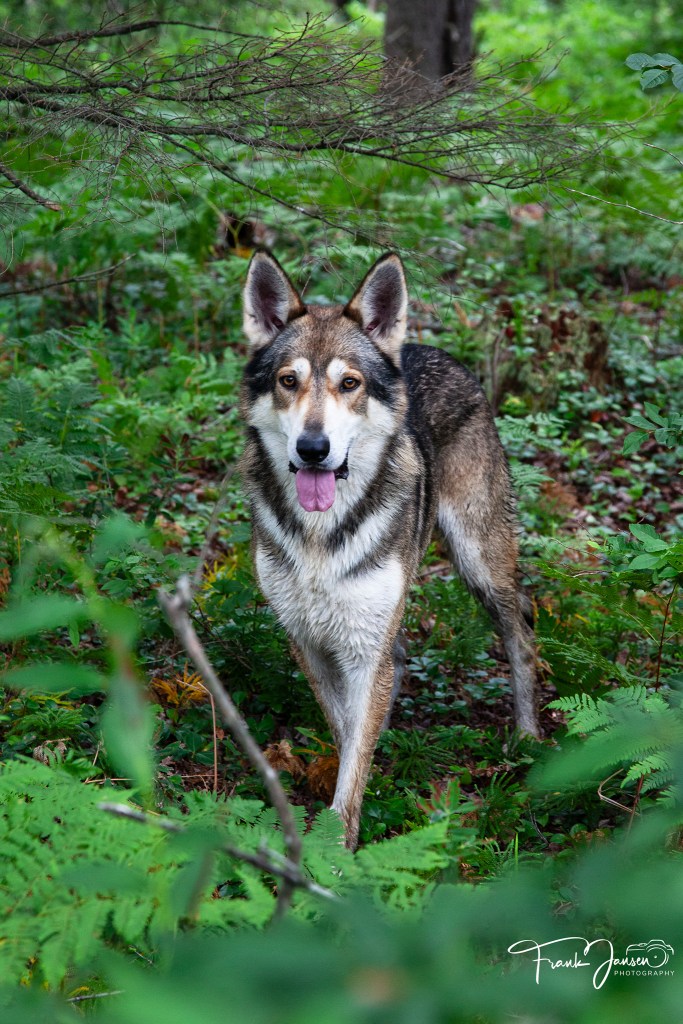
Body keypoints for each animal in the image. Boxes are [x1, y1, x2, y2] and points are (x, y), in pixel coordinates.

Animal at [240, 251, 540, 849]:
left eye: (349, 383)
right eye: (289, 381)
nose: (313, 449)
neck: (321, 533)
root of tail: (428, 350)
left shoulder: (363, 648)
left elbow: (357, 747)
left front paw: (337, 851)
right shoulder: (308, 643)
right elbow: (347, 730)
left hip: (480, 567)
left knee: (521, 637)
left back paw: (528, 737)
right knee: (401, 658)